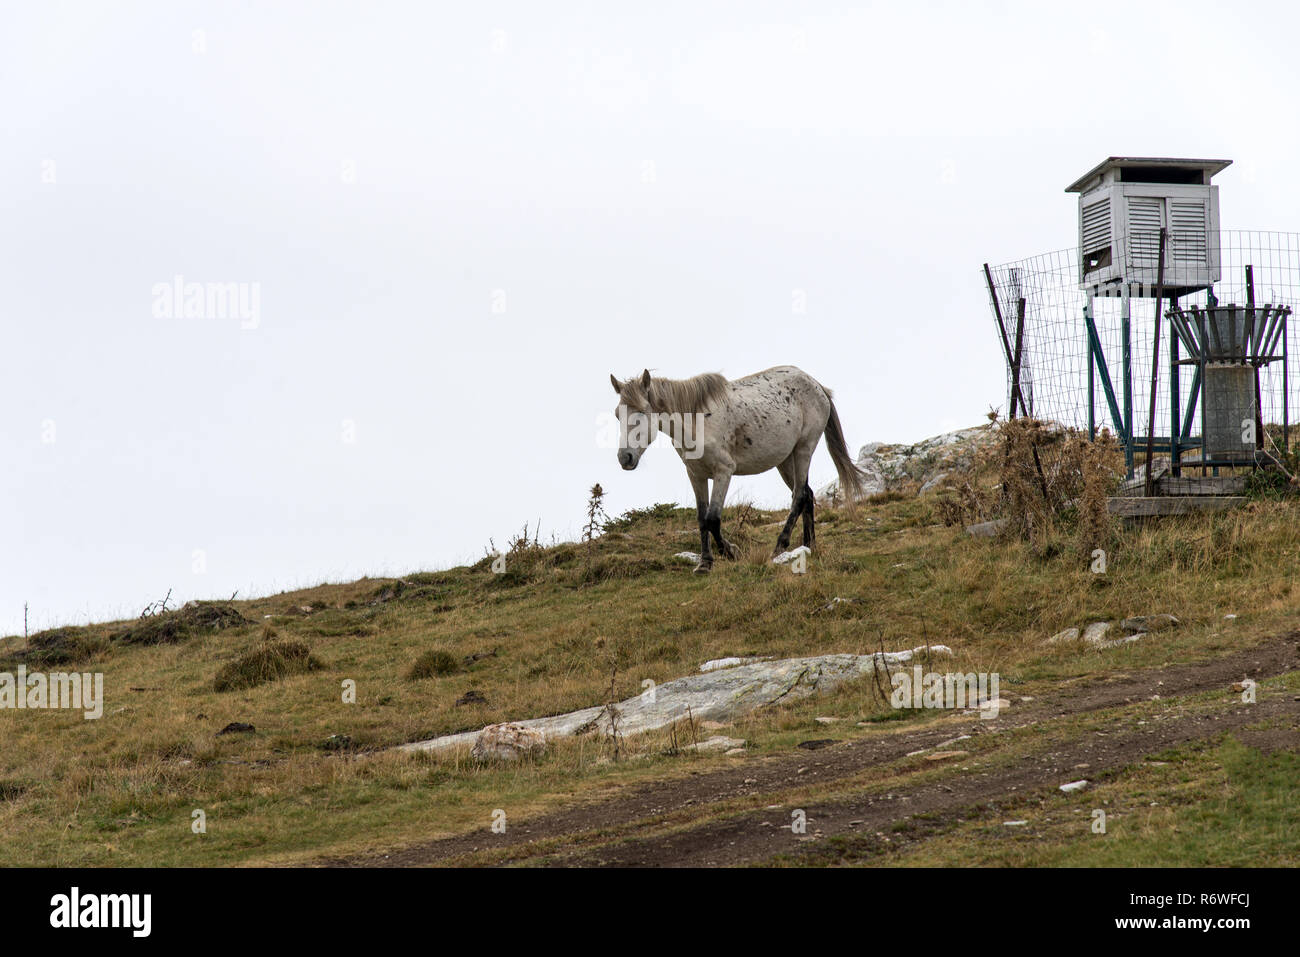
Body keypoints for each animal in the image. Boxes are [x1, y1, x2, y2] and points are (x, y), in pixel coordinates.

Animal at [609, 365, 868, 573]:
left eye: (642, 411)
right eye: (617, 415)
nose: (625, 458)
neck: (697, 422)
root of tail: (817, 386)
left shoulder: (724, 472)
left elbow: (713, 519)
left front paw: (731, 551)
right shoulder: (696, 475)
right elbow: (701, 519)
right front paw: (704, 563)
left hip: (804, 449)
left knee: (799, 496)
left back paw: (779, 547)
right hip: (785, 460)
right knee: (807, 494)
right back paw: (808, 545)